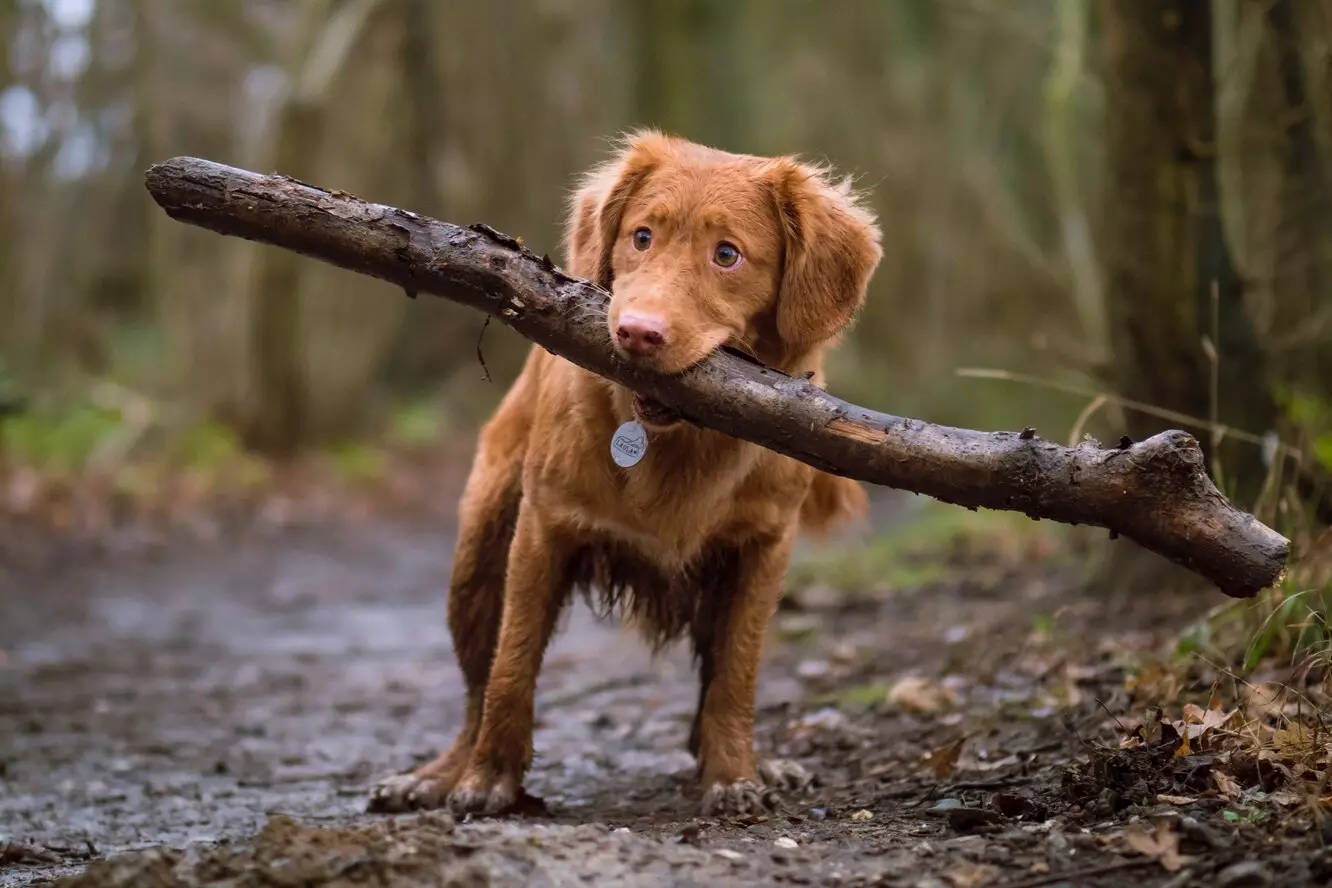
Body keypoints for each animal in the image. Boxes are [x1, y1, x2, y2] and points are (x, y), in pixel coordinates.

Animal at [370, 130, 879, 820]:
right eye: (642, 236)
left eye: (727, 255)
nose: (637, 333)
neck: (679, 443)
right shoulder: (542, 529)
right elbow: (512, 665)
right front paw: (489, 780)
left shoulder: (763, 547)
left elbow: (736, 673)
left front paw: (734, 775)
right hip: (477, 556)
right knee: (477, 686)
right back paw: (440, 774)